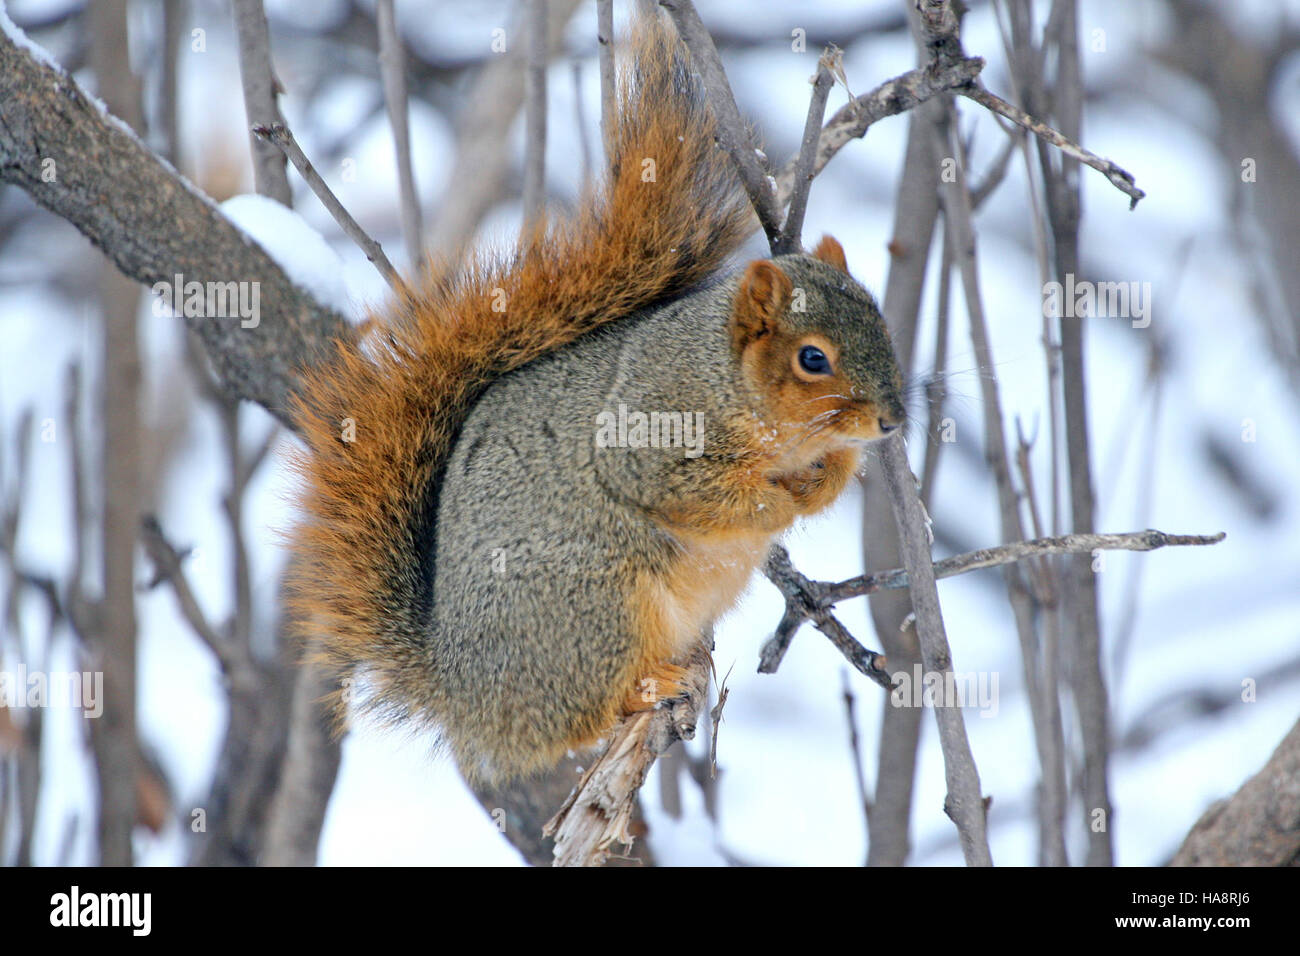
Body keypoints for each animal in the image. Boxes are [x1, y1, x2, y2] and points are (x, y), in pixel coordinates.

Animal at [288, 12, 905, 783]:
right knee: (581, 715)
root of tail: (461, 693)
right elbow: (693, 491)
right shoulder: (653, 431)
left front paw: (824, 483)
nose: (893, 420)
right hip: (598, 607)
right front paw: (778, 505)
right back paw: (648, 686)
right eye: (812, 359)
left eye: (880, 318)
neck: (734, 385)